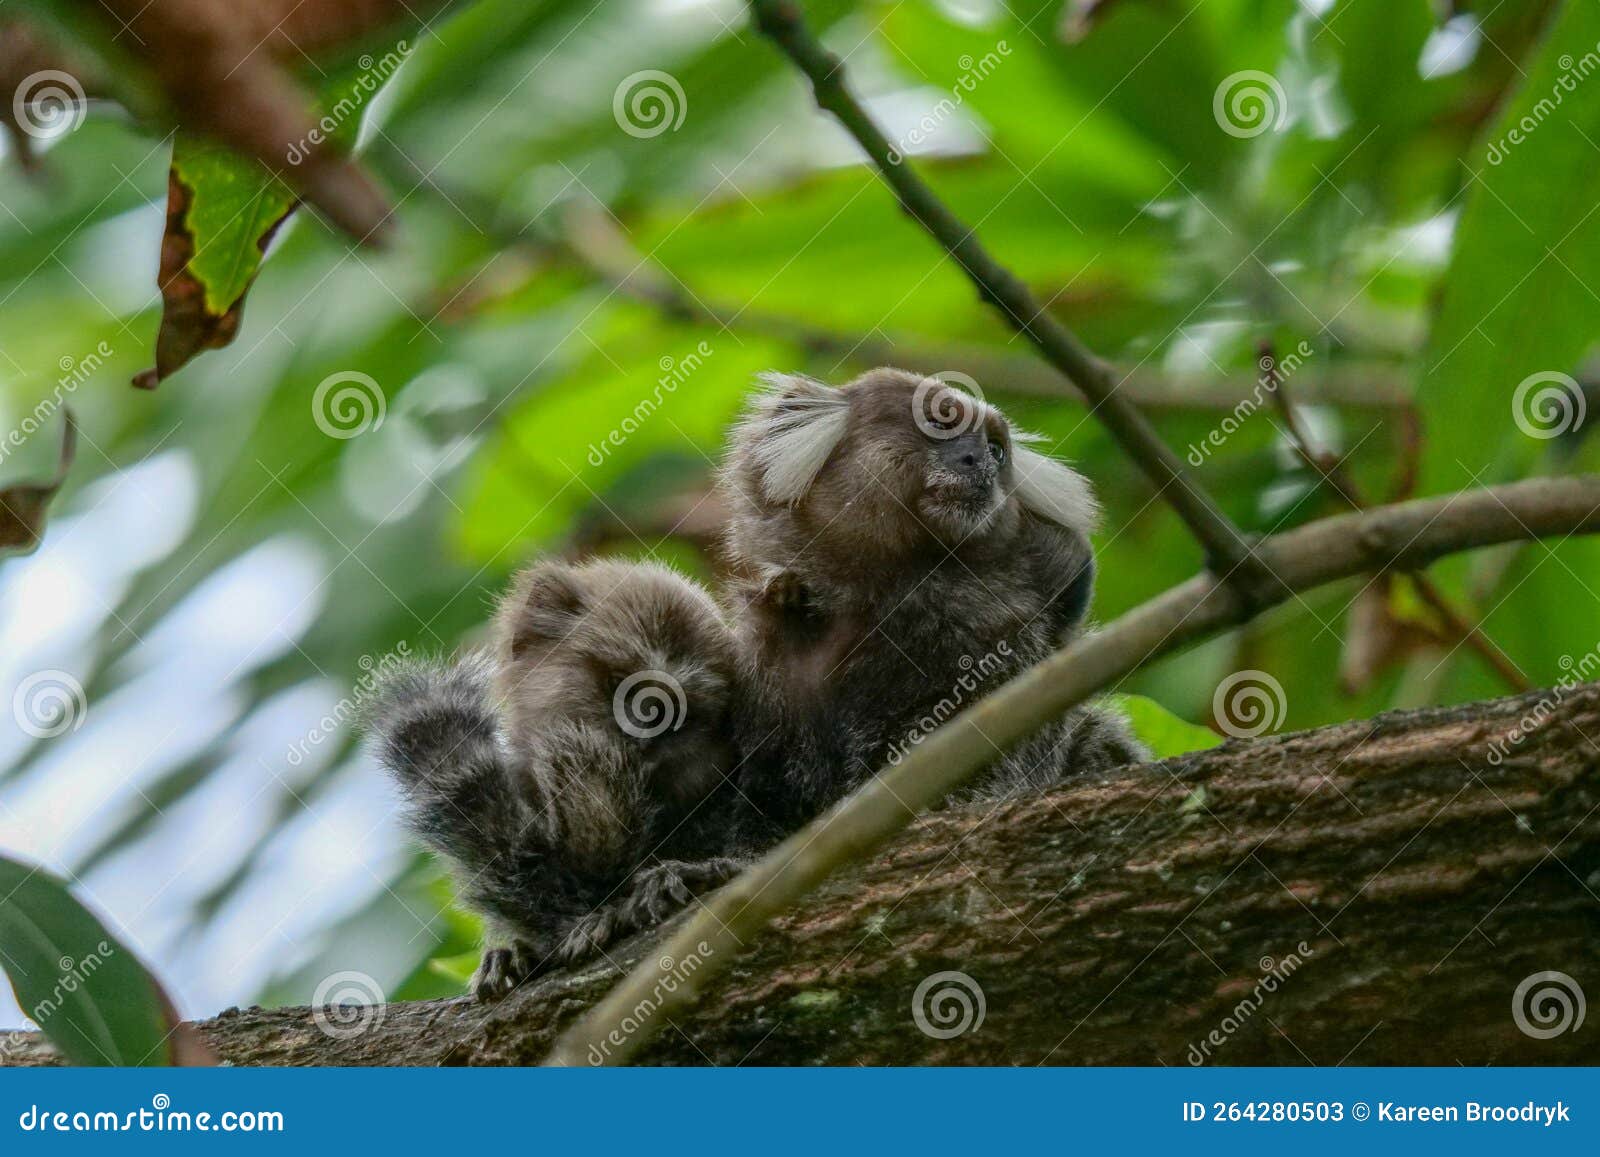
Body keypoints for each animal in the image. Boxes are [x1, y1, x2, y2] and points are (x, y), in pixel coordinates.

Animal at [717, 367, 1146, 822]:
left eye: (996, 451)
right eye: (941, 424)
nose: (979, 463)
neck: (887, 596)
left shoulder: (1003, 649)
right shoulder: (775, 658)